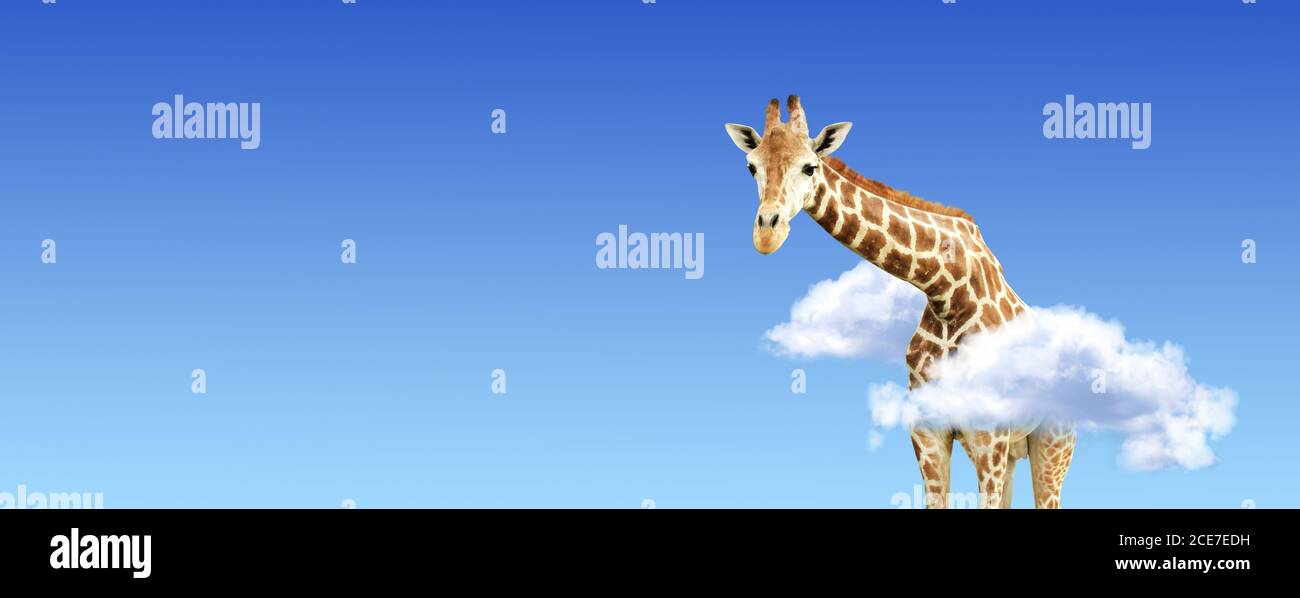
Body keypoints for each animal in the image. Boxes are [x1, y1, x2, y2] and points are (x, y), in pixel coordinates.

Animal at [725, 96, 1075, 508]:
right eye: (751, 166)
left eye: (810, 166)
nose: (767, 234)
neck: (946, 291)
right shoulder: (929, 431)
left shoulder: (989, 432)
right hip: (1012, 452)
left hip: (1052, 444)